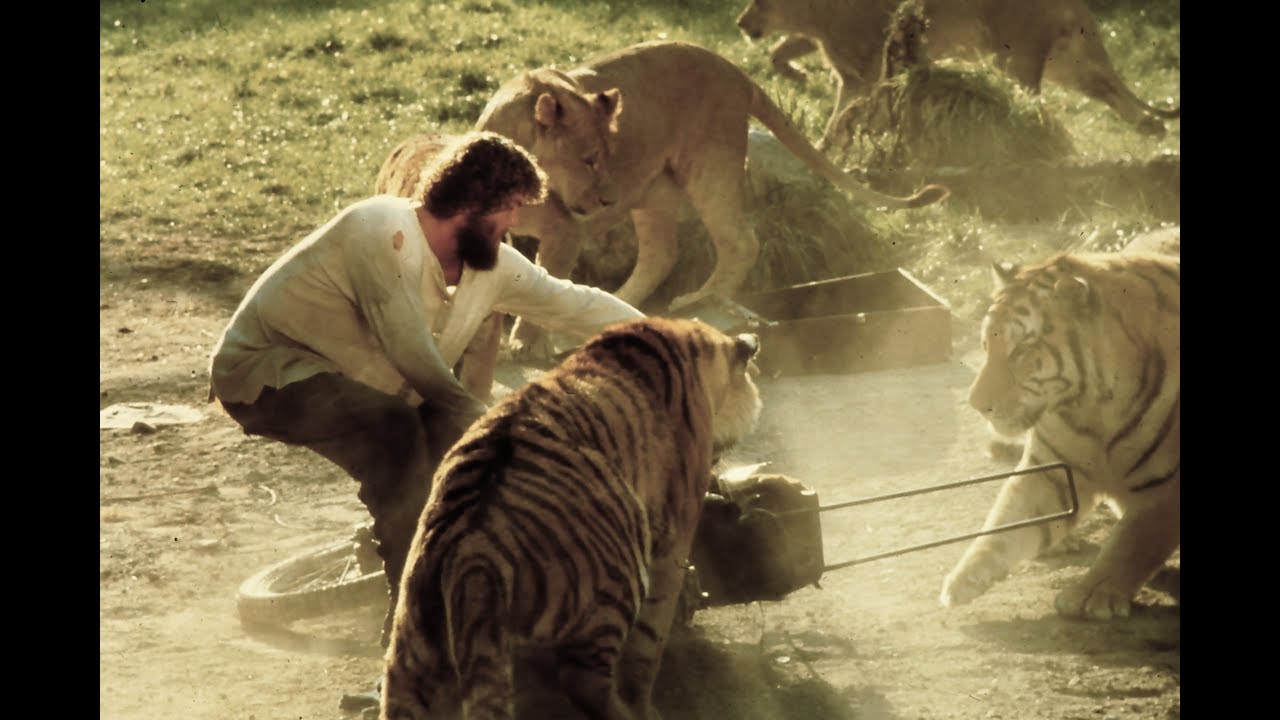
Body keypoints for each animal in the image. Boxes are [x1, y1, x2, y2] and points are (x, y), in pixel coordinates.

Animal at [379, 316, 763, 720]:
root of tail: (471, 549)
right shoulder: (673, 542)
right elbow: (650, 643)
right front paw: (645, 705)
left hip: (412, 646)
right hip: (616, 583)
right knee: (583, 680)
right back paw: (626, 713)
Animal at [380, 40, 948, 367]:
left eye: (607, 155)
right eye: (589, 159)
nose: (606, 195)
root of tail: (736, 70)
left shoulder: (565, 233)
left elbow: (546, 281)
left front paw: (527, 343)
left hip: (708, 167)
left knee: (740, 241)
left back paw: (699, 298)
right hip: (654, 195)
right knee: (661, 254)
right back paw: (627, 303)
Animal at [735, 0, 1181, 148]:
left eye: (760, 0)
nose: (740, 23)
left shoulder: (863, 68)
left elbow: (845, 114)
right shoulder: (847, 66)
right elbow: (780, 52)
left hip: (1018, 57)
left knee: (1031, 101)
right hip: (1067, 62)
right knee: (1108, 87)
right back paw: (1151, 127)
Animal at [940, 242, 1179, 620]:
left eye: (1021, 350)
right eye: (985, 346)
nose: (976, 404)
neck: (1094, 405)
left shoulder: (1166, 487)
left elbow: (1134, 540)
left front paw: (1092, 593)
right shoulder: (1052, 469)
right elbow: (1007, 520)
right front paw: (963, 578)